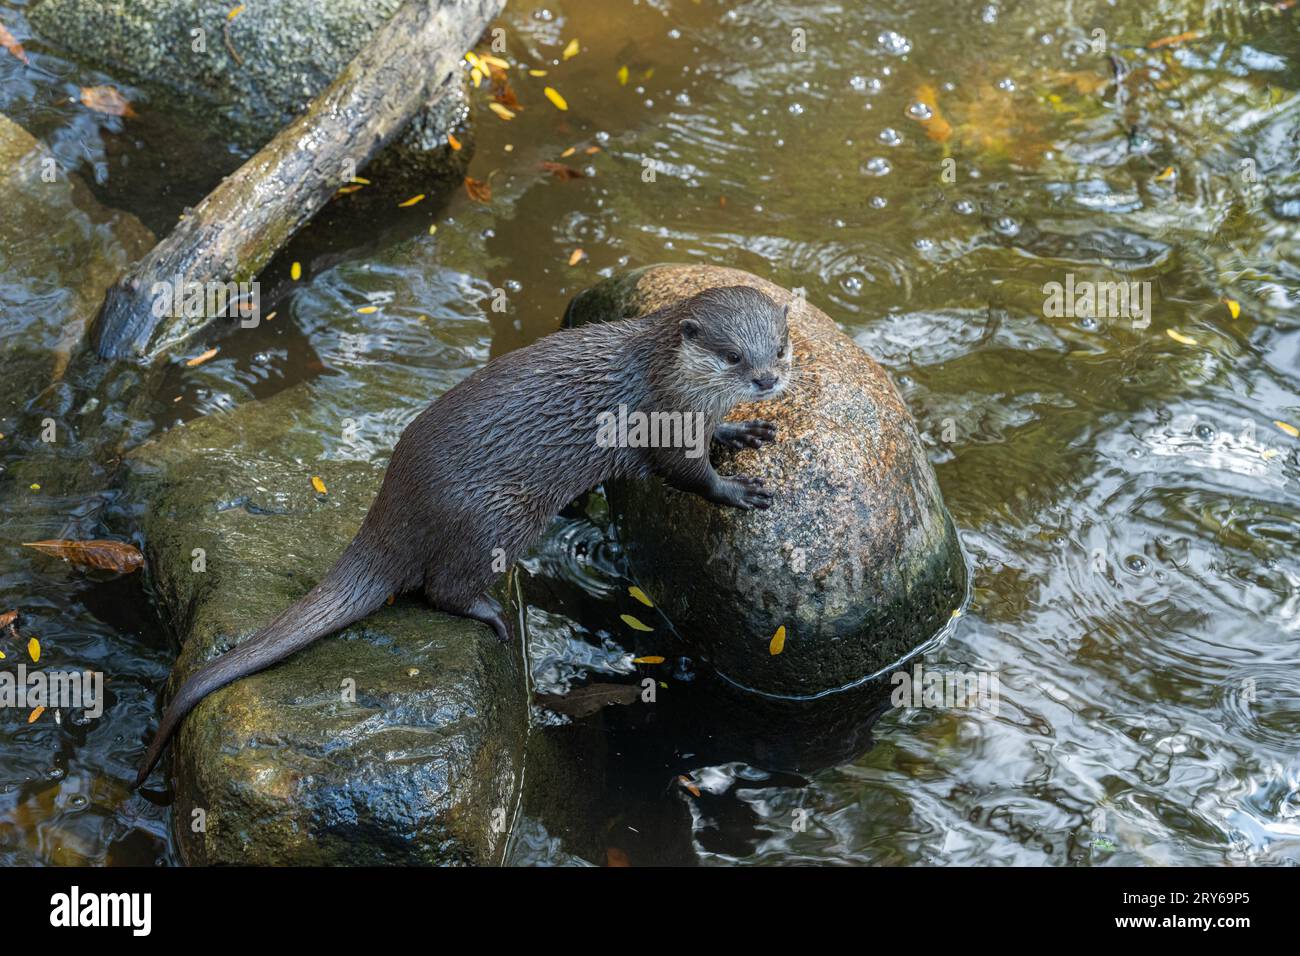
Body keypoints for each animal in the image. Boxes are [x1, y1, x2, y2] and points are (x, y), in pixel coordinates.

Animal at [134, 285, 792, 787]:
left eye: (781, 349)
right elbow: (687, 475)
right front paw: (738, 492)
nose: (764, 380)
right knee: (441, 589)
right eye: (733, 356)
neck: (664, 376)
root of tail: (393, 512)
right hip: (498, 515)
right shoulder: (661, 422)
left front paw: (742, 431)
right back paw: (493, 616)